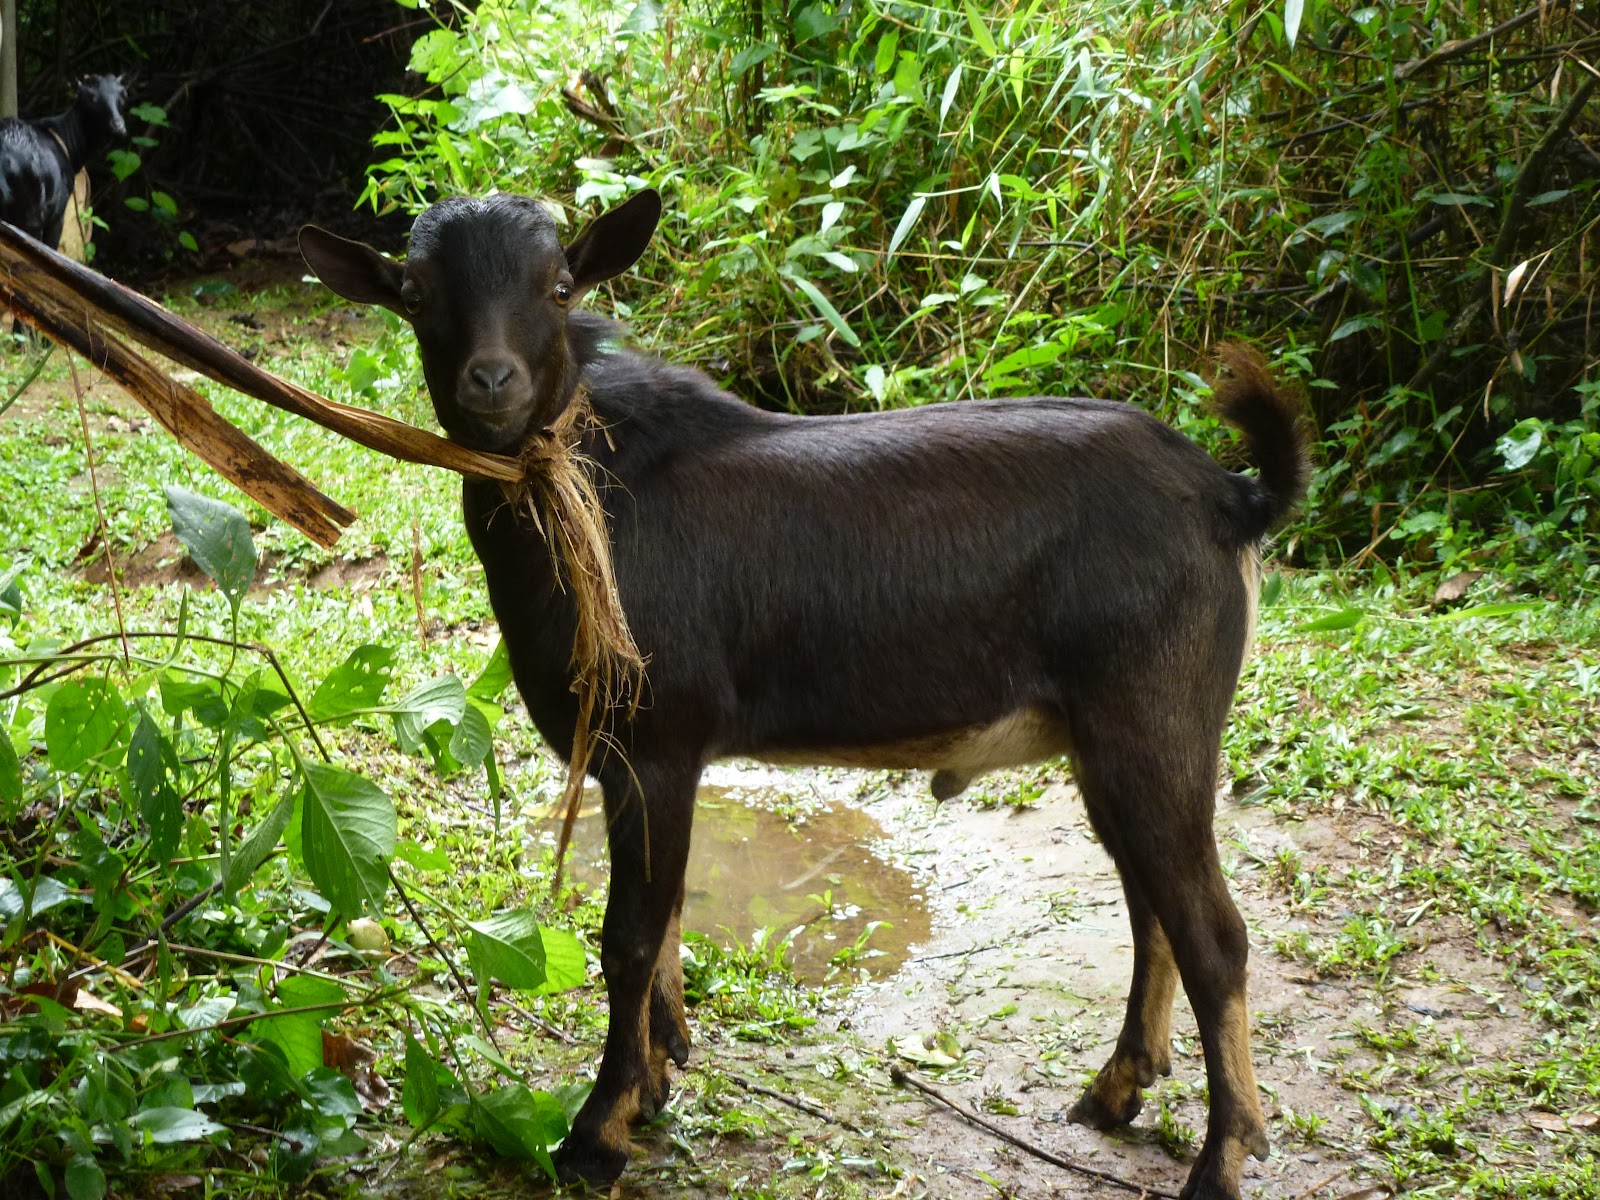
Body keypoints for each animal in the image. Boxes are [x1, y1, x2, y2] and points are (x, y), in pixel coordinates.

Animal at [300, 189, 1311, 1200]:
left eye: (558, 285)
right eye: (415, 295)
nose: (491, 381)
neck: (596, 497)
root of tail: (1232, 495)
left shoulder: (653, 744)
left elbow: (630, 938)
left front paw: (600, 1130)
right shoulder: (655, 764)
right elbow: (669, 919)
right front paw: (656, 1083)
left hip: (1155, 715)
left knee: (1214, 934)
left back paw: (1221, 1157)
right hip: (1107, 739)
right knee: (1153, 909)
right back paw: (1117, 1090)